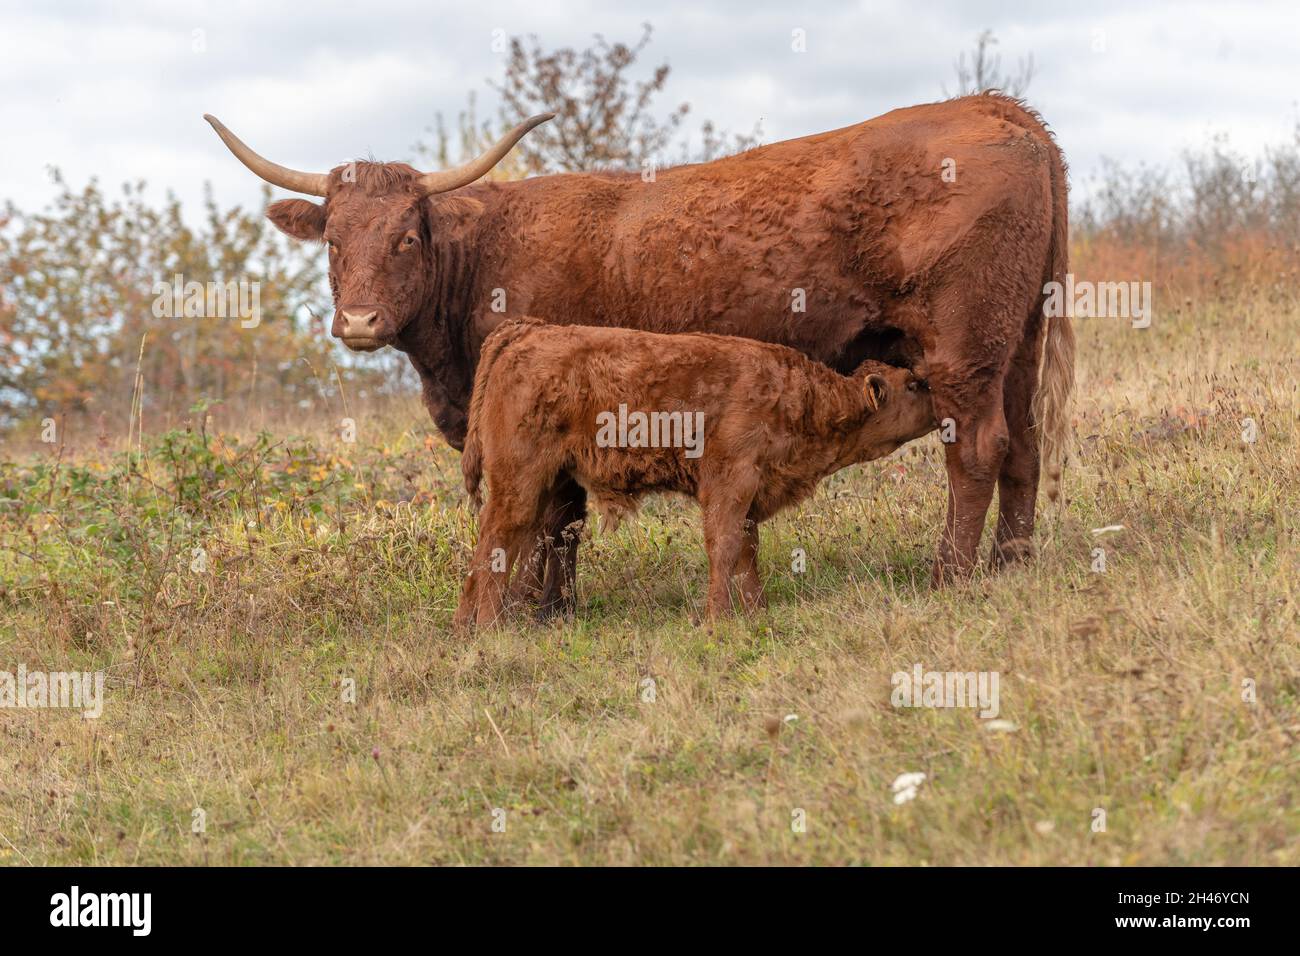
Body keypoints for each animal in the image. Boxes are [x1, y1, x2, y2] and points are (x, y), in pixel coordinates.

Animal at [454, 319, 938, 628]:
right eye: (913, 385)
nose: (938, 397)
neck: (799, 397)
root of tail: (529, 331)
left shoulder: (750, 494)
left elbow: (747, 551)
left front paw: (756, 611)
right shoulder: (730, 482)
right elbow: (724, 547)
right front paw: (717, 618)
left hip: (542, 481)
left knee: (505, 542)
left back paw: (467, 627)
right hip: (519, 481)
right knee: (498, 540)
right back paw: (491, 627)